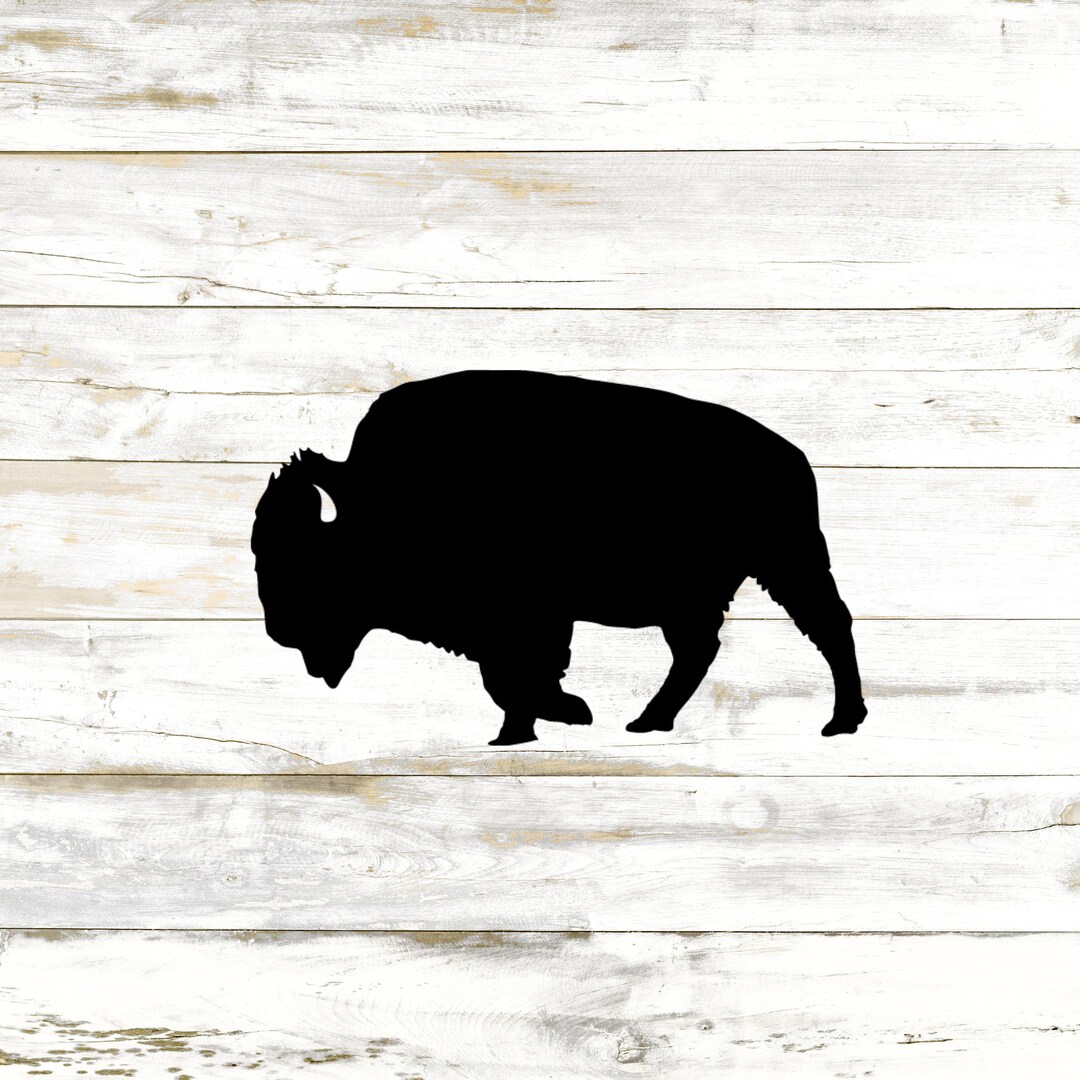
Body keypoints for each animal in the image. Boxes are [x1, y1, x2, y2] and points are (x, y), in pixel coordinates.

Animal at [251, 370, 866, 746]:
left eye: (305, 563)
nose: (280, 631)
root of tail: (791, 455)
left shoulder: (526, 617)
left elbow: (520, 672)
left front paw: (558, 713)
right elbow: (510, 676)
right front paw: (523, 728)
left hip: (787, 563)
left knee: (829, 627)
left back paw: (841, 722)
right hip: (706, 594)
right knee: (701, 649)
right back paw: (648, 721)